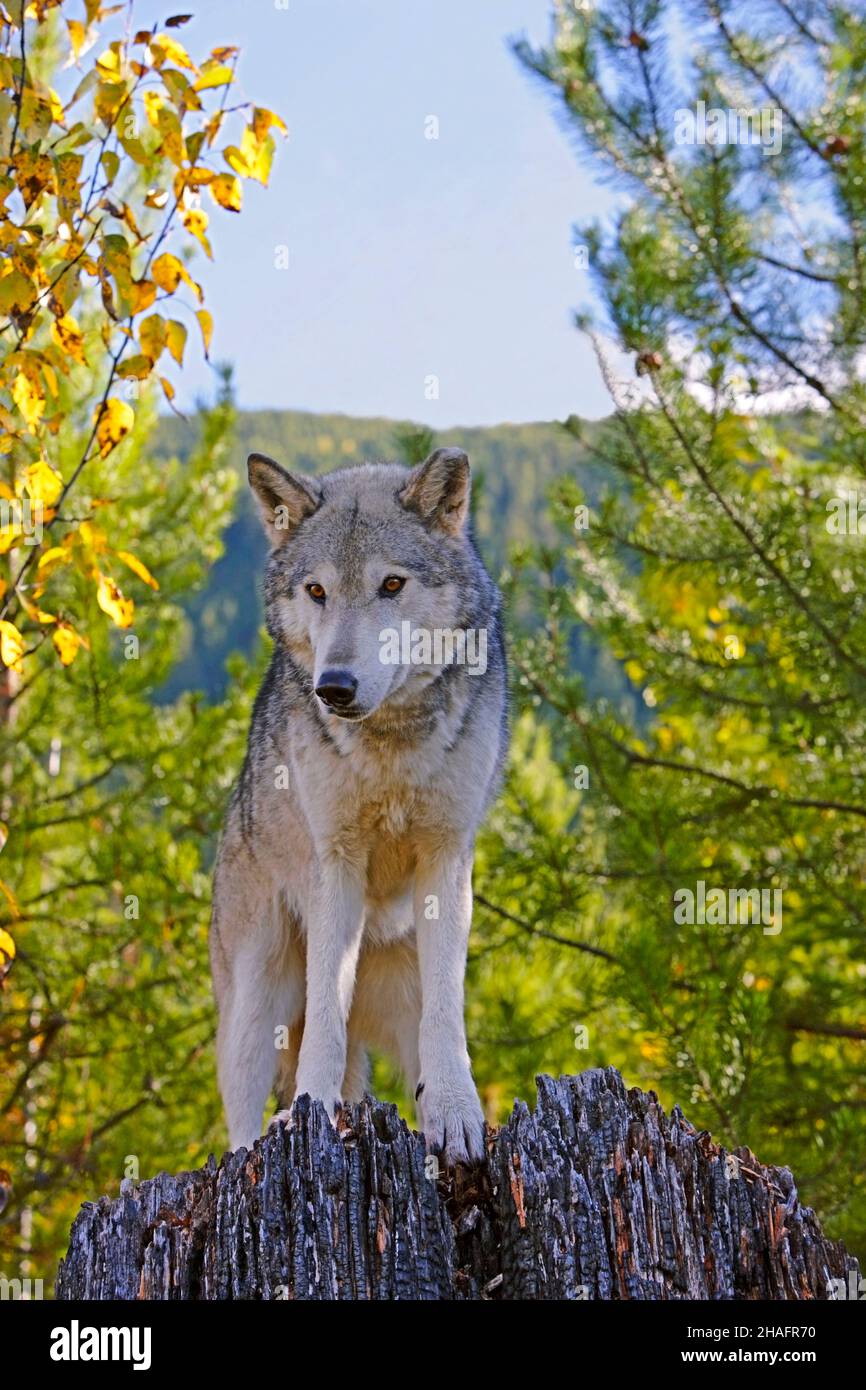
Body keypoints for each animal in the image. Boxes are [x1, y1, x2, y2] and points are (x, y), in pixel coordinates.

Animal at [209, 447, 508, 1163]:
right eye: (317, 591)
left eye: (392, 585)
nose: (334, 687)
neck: (390, 739)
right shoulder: (335, 864)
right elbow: (325, 1017)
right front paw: (311, 1114)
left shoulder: (447, 856)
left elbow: (448, 1017)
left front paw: (458, 1114)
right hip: (256, 1000)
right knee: (242, 1118)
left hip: (398, 995)